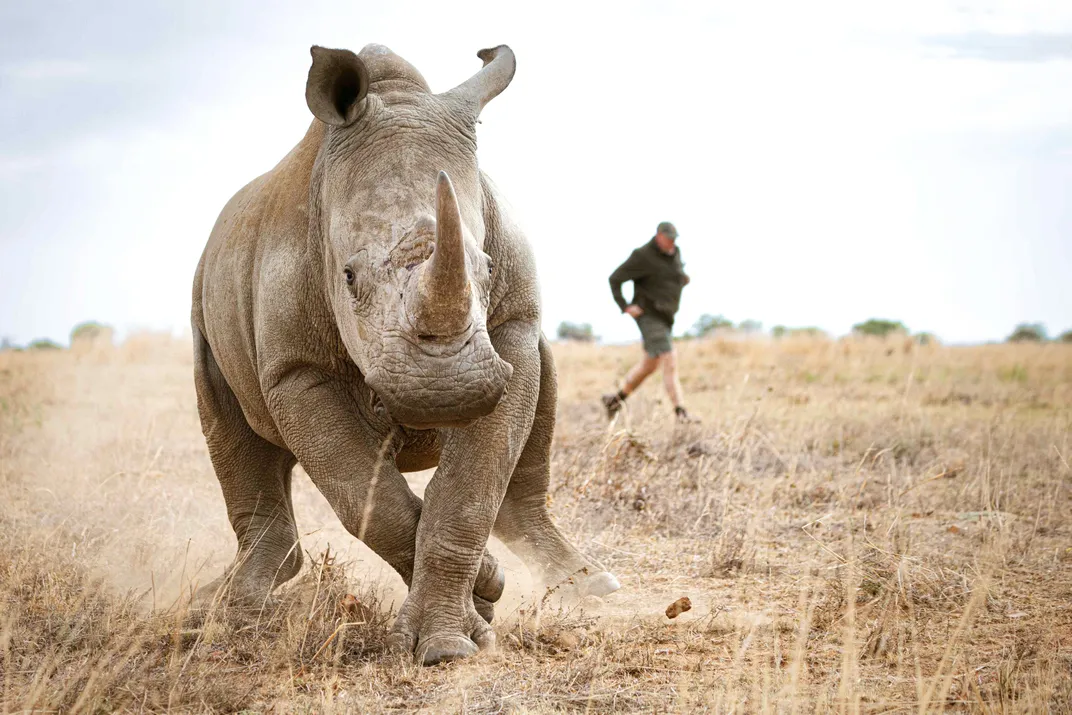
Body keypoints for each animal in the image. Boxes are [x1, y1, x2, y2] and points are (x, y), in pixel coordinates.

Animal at [191, 43, 619, 665]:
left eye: (489, 267)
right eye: (347, 277)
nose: (444, 391)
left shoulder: (512, 330)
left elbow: (468, 490)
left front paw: (454, 635)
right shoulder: (296, 369)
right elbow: (367, 498)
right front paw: (479, 603)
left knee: (545, 399)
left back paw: (592, 587)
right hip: (204, 301)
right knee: (226, 423)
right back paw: (227, 609)